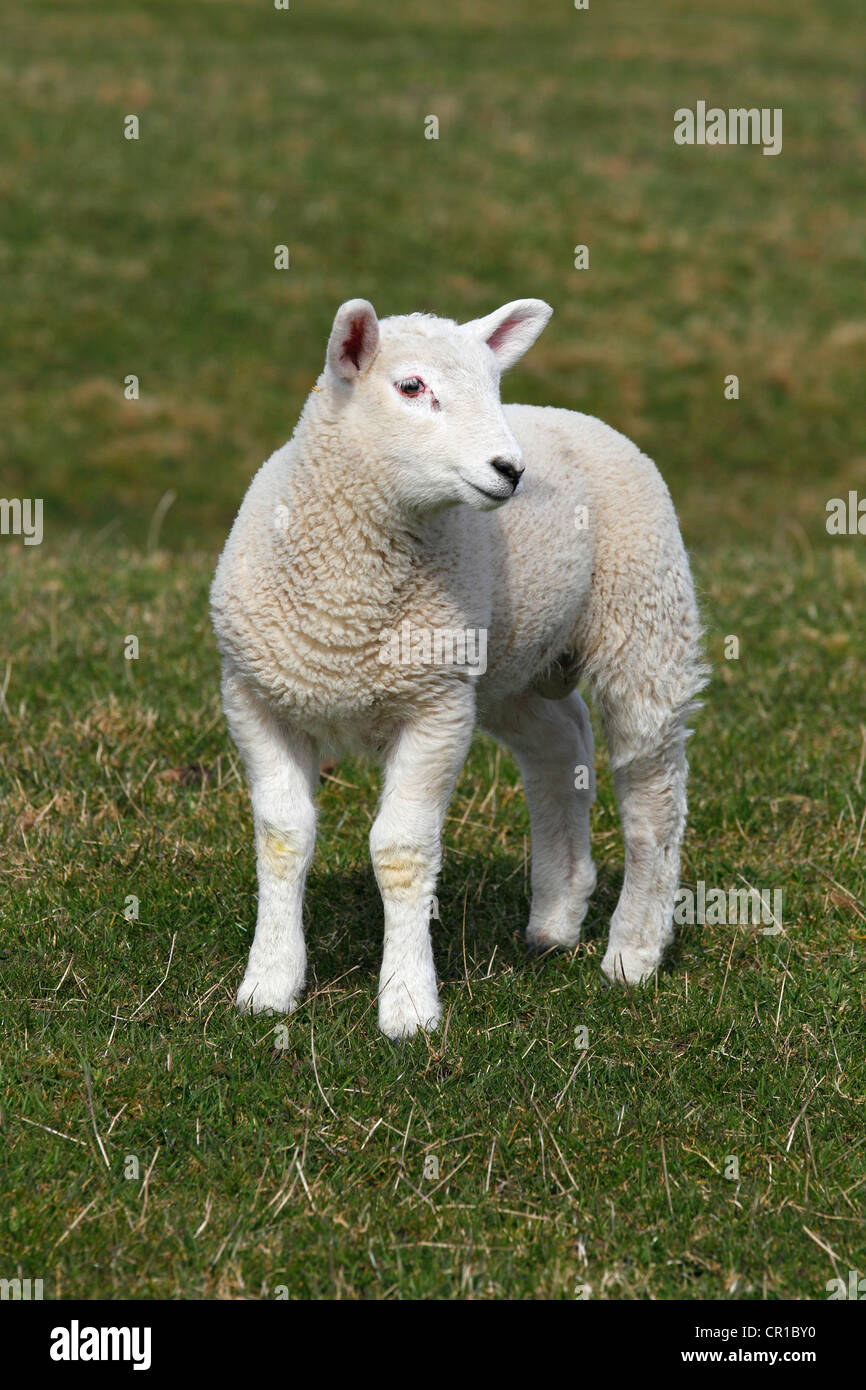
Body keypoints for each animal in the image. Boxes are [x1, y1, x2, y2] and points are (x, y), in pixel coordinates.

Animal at [210, 298, 707, 1039]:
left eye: (493, 386)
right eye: (411, 387)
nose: (510, 469)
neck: (346, 599)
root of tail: (574, 415)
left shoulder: (436, 706)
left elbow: (400, 851)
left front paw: (408, 1005)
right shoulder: (255, 697)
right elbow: (282, 838)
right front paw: (269, 984)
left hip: (646, 622)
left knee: (653, 792)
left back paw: (633, 950)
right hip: (509, 665)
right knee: (559, 748)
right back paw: (557, 916)